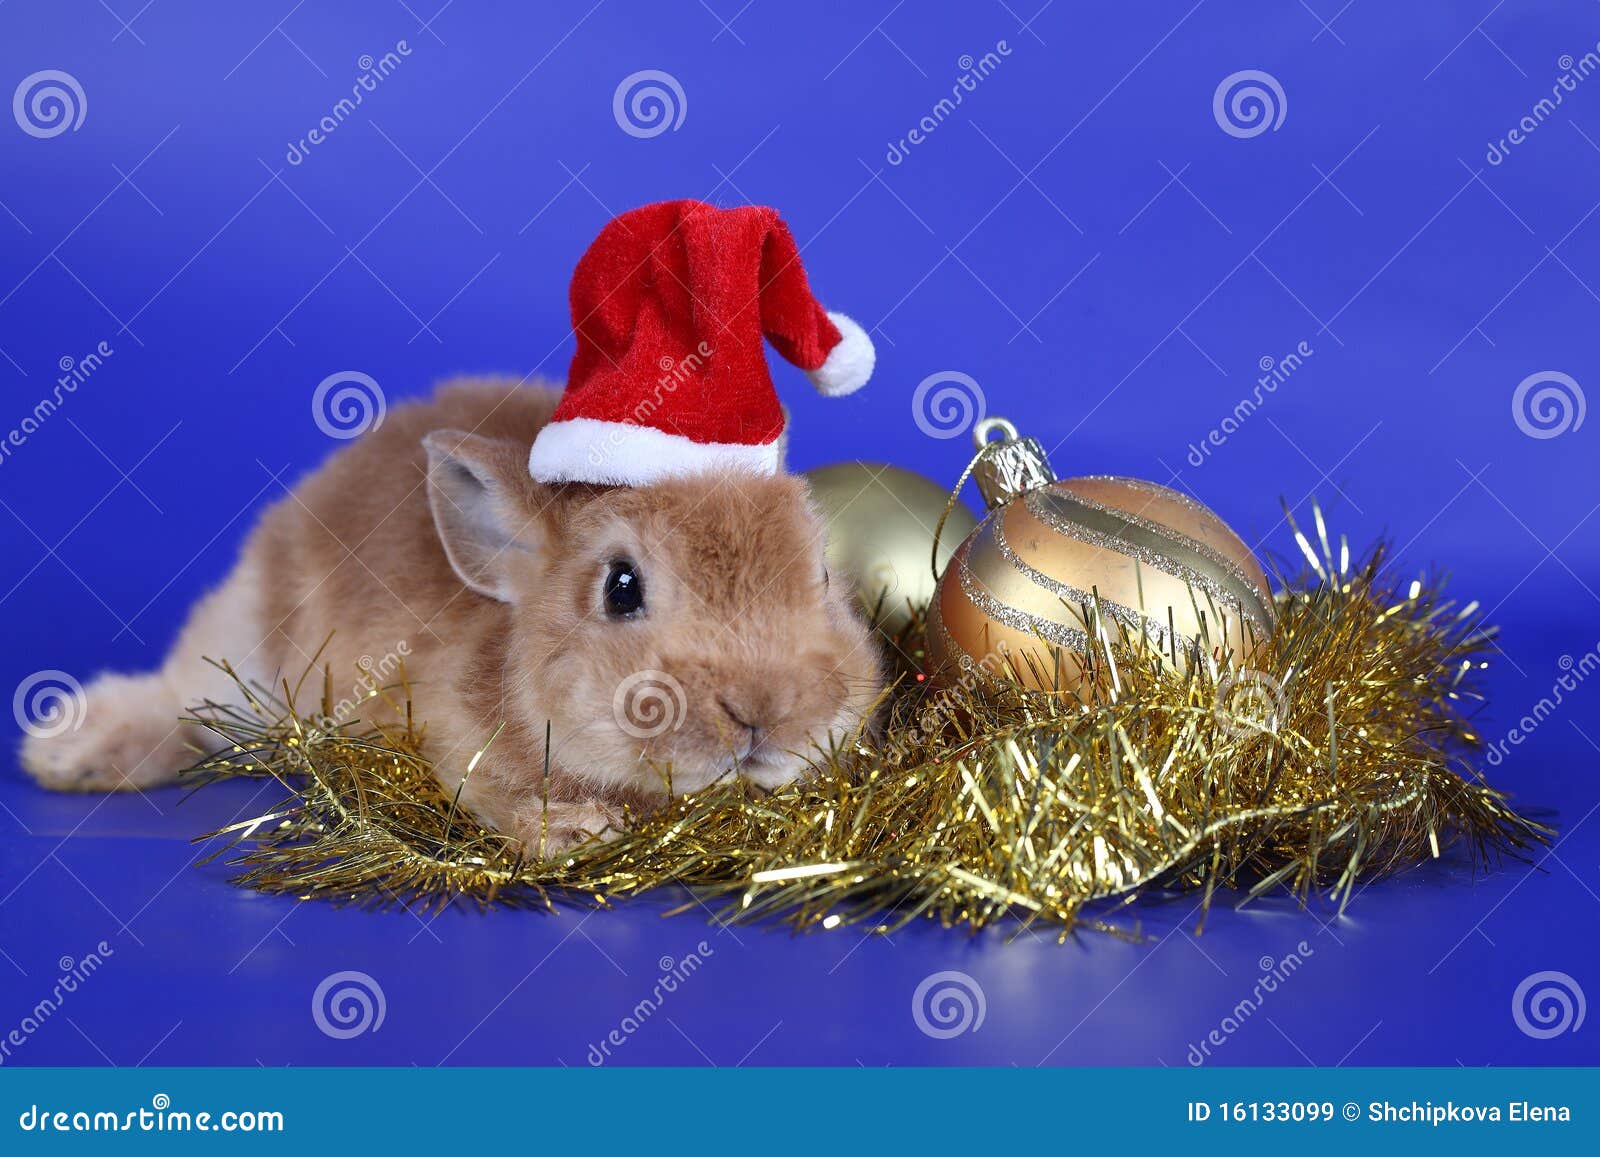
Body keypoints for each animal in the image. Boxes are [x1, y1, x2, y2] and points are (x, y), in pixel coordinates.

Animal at [20, 376, 885, 853]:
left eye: (818, 570)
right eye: (621, 587)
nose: (764, 710)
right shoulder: (447, 733)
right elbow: (486, 792)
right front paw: (574, 830)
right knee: (182, 703)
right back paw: (72, 750)